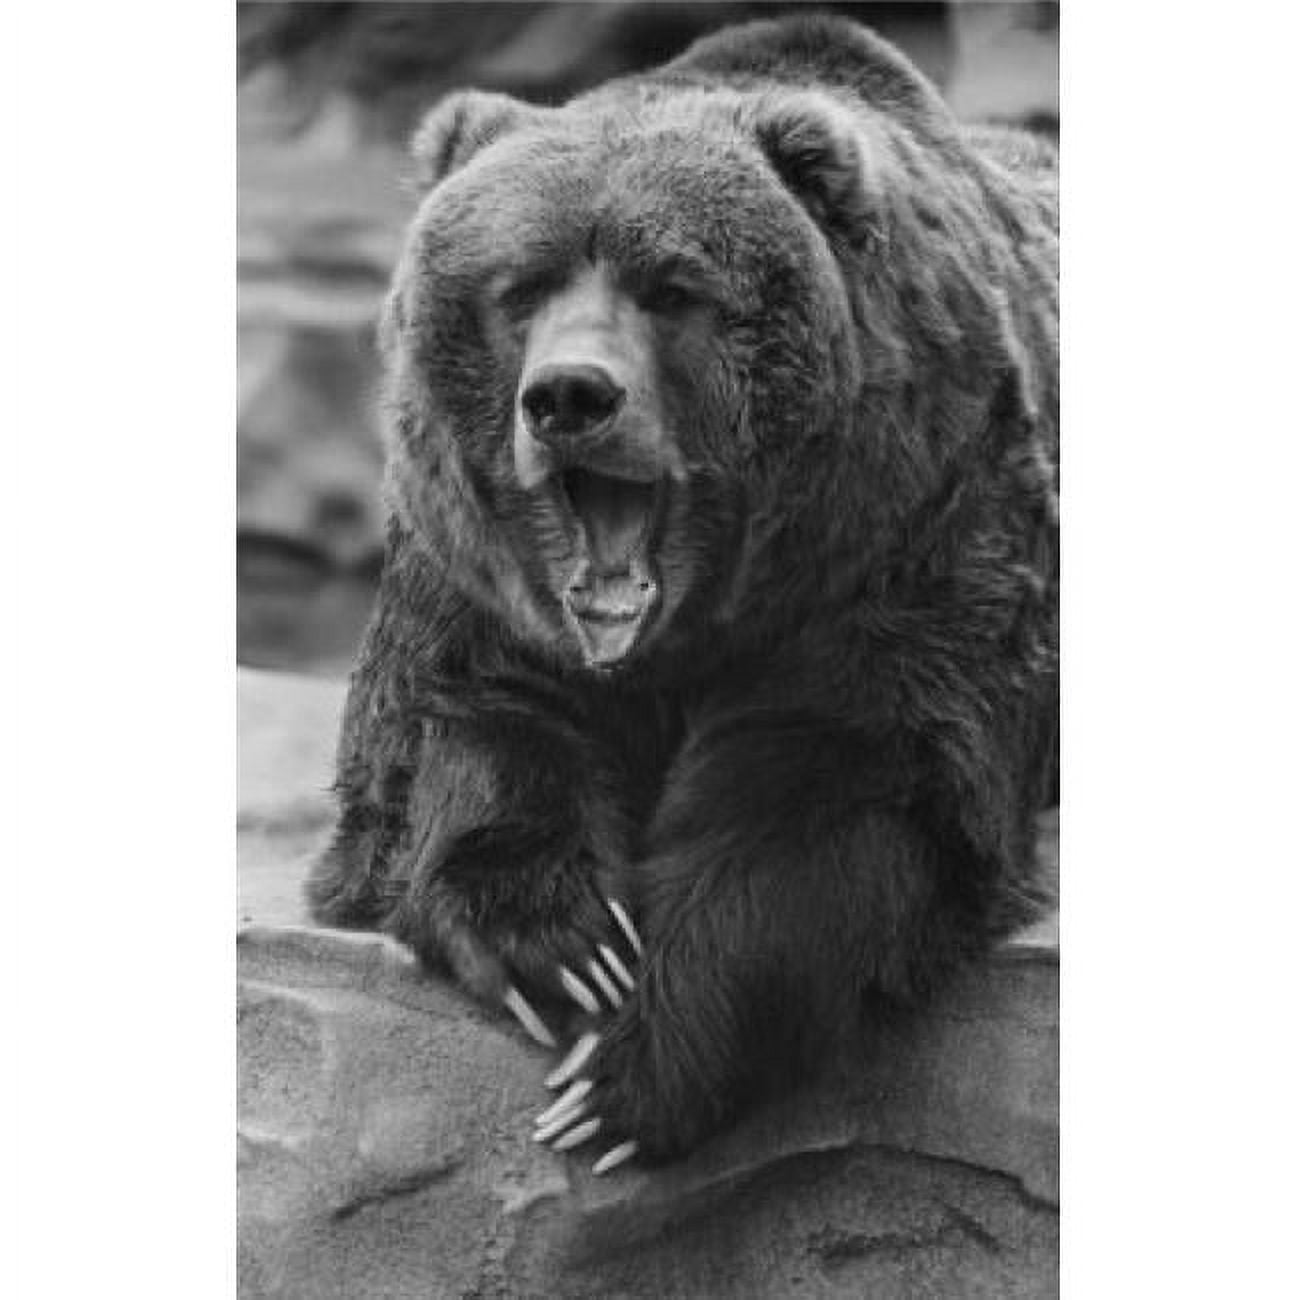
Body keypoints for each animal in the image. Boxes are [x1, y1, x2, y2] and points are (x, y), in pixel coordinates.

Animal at [307, 13, 1059, 1172]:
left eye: (671, 289)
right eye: (520, 287)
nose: (571, 396)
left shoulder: (912, 533)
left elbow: (842, 791)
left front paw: (622, 1078)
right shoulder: (472, 574)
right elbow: (461, 729)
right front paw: (563, 946)